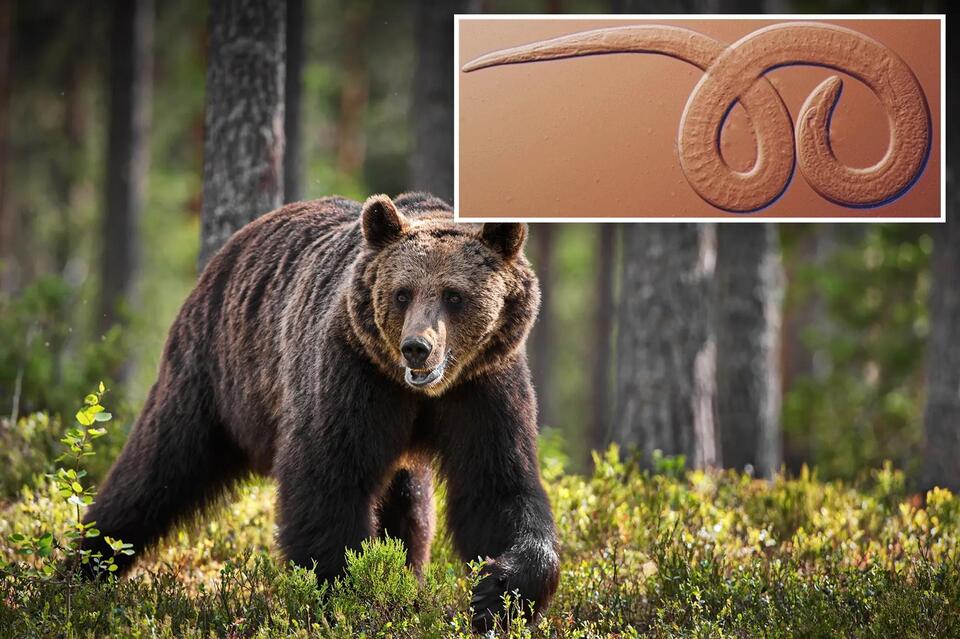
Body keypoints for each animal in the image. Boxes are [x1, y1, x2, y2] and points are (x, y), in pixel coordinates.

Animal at [81, 192, 560, 631]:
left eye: (454, 295)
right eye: (402, 293)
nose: (417, 348)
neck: (419, 393)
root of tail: (228, 251)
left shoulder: (483, 387)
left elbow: (497, 488)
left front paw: (497, 593)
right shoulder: (351, 373)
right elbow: (328, 481)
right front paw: (348, 592)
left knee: (408, 506)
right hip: (214, 374)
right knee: (157, 469)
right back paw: (88, 562)